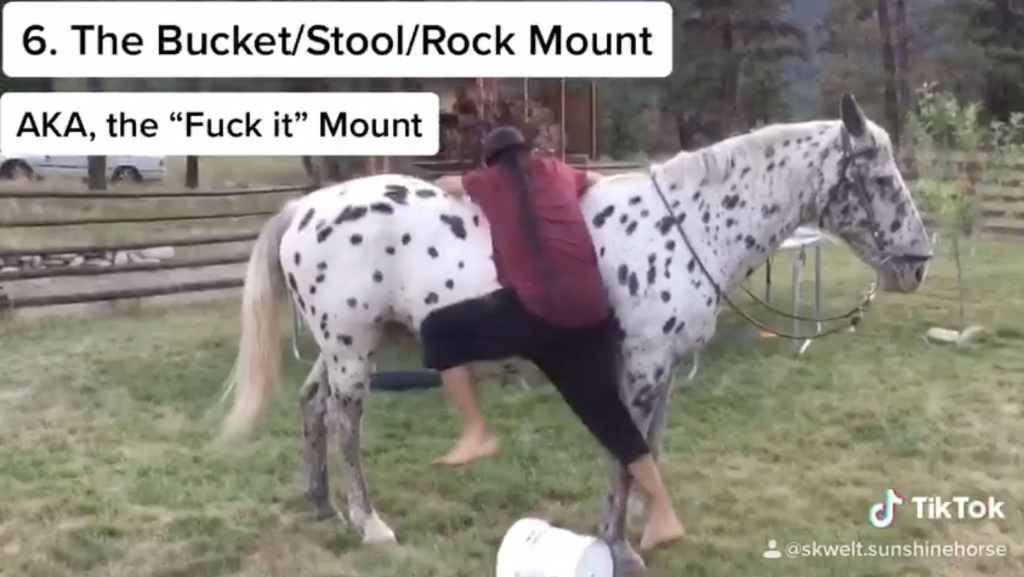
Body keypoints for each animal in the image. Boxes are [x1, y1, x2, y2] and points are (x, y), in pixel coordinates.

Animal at [218, 94, 932, 570]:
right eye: (877, 177)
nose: (918, 261)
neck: (684, 226)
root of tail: (307, 207)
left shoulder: (662, 369)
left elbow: (647, 447)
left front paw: (644, 525)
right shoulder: (641, 363)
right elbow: (624, 450)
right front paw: (619, 546)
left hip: (348, 347)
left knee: (312, 408)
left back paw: (323, 507)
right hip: (352, 348)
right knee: (345, 423)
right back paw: (370, 525)